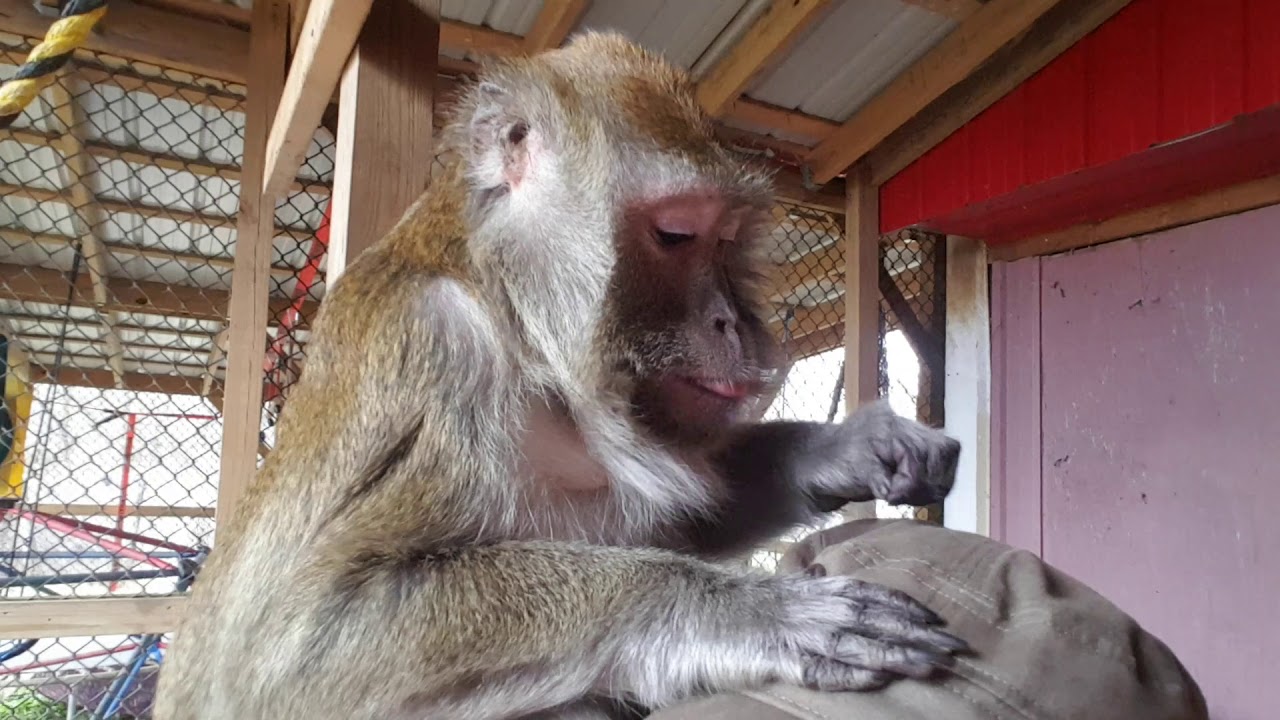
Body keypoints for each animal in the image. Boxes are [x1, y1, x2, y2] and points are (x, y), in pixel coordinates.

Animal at [154, 31, 965, 720]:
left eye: (728, 239)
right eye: (676, 234)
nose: (728, 321)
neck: (524, 338)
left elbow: (686, 520)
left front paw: (848, 448)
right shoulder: (437, 351)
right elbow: (291, 652)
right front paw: (741, 609)